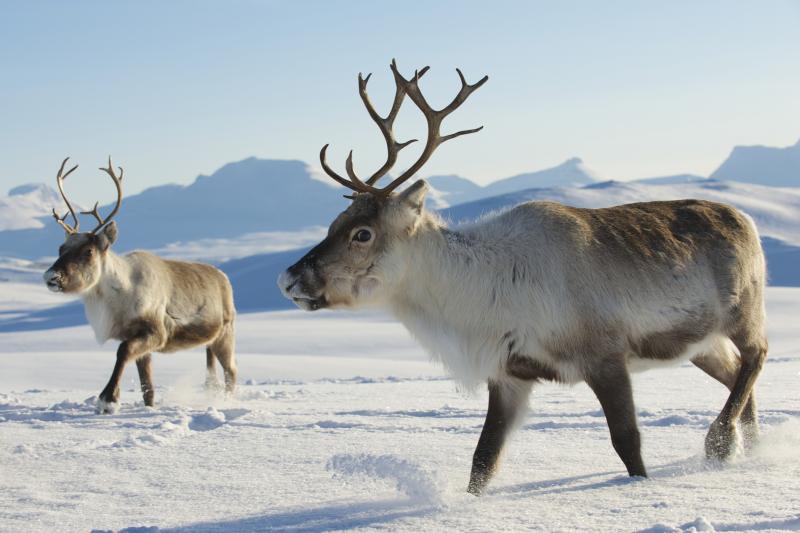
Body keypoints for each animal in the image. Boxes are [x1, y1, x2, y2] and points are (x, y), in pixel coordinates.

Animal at [43, 157, 237, 414]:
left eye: (89, 251)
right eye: (60, 248)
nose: (51, 277)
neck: (118, 296)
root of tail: (223, 277)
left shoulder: (156, 332)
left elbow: (122, 351)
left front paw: (108, 399)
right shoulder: (137, 338)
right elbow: (147, 386)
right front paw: (147, 407)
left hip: (225, 333)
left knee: (231, 372)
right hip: (212, 341)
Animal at [278, 60, 768, 495]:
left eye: (362, 233)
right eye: (333, 223)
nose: (288, 278)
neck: (478, 294)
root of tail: (746, 219)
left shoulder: (604, 355)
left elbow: (627, 443)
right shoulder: (510, 373)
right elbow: (483, 460)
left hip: (743, 311)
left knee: (756, 356)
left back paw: (720, 443)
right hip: (699, 344)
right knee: (736, 376)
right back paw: (751, 449)